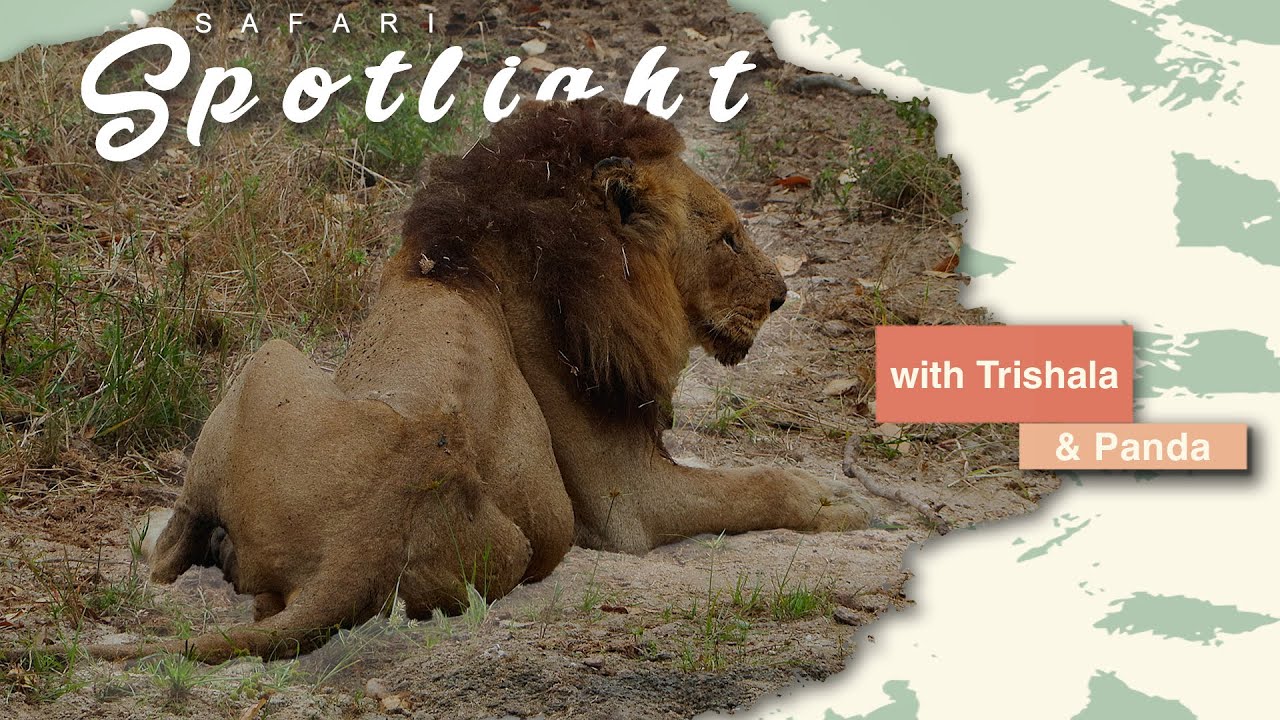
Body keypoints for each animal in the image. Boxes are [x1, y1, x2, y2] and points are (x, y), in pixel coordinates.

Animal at [24, 98, 871, 664]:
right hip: (277, 352)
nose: (781, 296)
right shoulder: (625, 500)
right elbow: (758, 483)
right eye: (726, 236)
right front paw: (838, 503)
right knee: (170, 557)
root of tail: (369, 531)